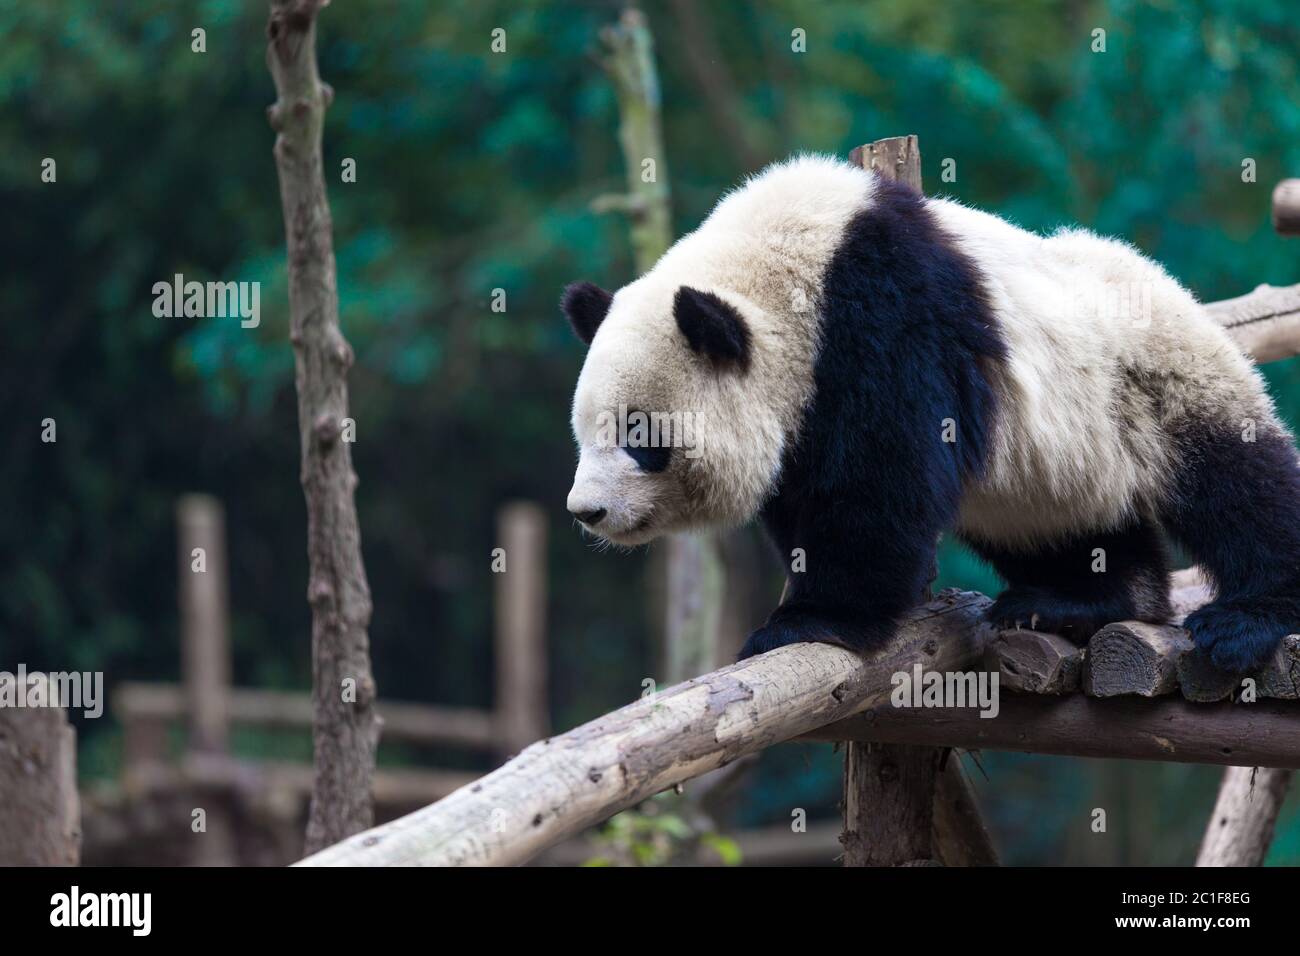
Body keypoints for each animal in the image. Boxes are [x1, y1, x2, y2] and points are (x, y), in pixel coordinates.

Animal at [562, 154, 1300, 673]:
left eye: (640, 437)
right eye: (585, 433)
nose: (587, 511)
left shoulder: (885, 317)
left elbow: (884, 475)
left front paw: (812, 620)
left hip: (1155, 375)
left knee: (1240, 483)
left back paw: (1246, 619)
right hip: (1066, 462)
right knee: (1070, 526)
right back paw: (1082, 600)